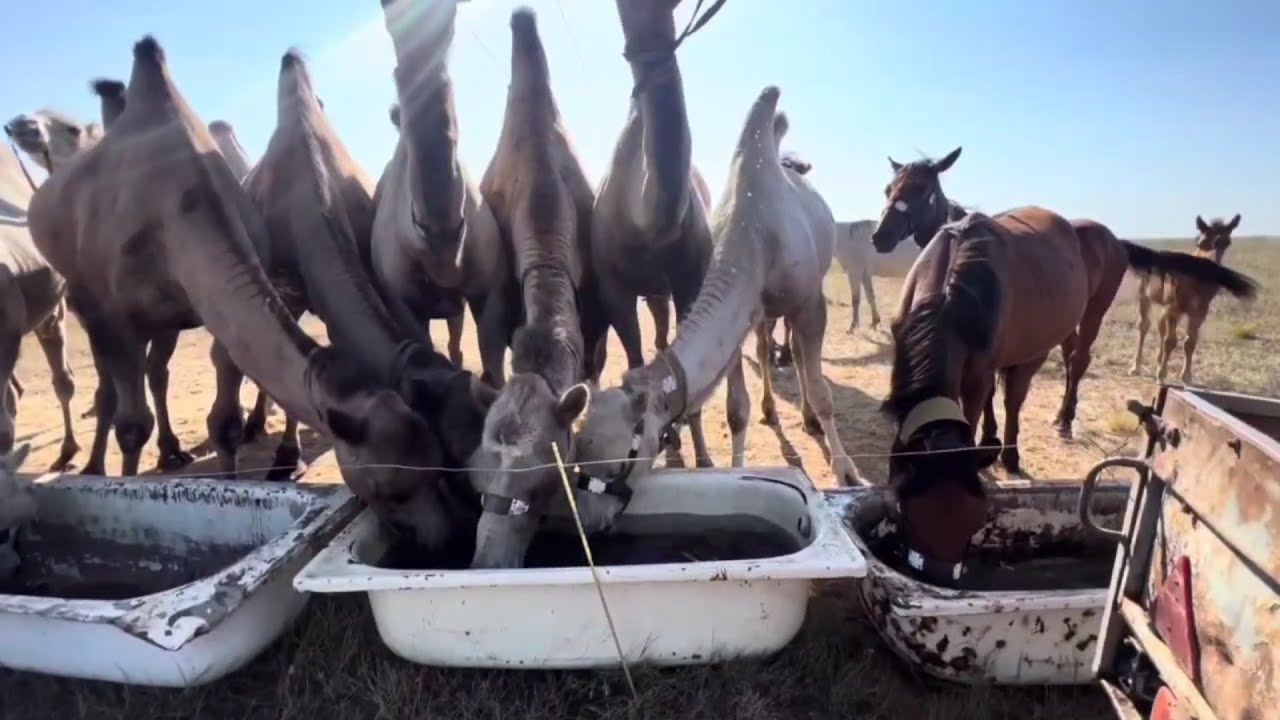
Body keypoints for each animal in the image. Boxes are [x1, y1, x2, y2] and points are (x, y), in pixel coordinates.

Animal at [569, 87, 863, 539]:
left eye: (618, 463)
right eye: (578, 454)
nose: (589, 521)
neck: (753, 237)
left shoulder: (810, 301)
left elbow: (821, 390)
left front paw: (846, 471)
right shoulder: (743, 314)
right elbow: (736, 409)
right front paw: (737, 471)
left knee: (799, 357)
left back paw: (812, 422)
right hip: (763, 315)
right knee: (768, 350)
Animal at [1131, 214, 1245, 384]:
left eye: (1226, 243)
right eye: (1201, 242)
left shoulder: (1199, 313)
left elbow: (1190, 342)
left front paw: (1186, 376)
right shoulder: (1175, 308)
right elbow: (1170, 341)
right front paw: (1161, 375)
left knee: (1160, 326)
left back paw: (1158, 361)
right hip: (1144, 296)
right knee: (1144, 326)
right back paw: (1136, 367)